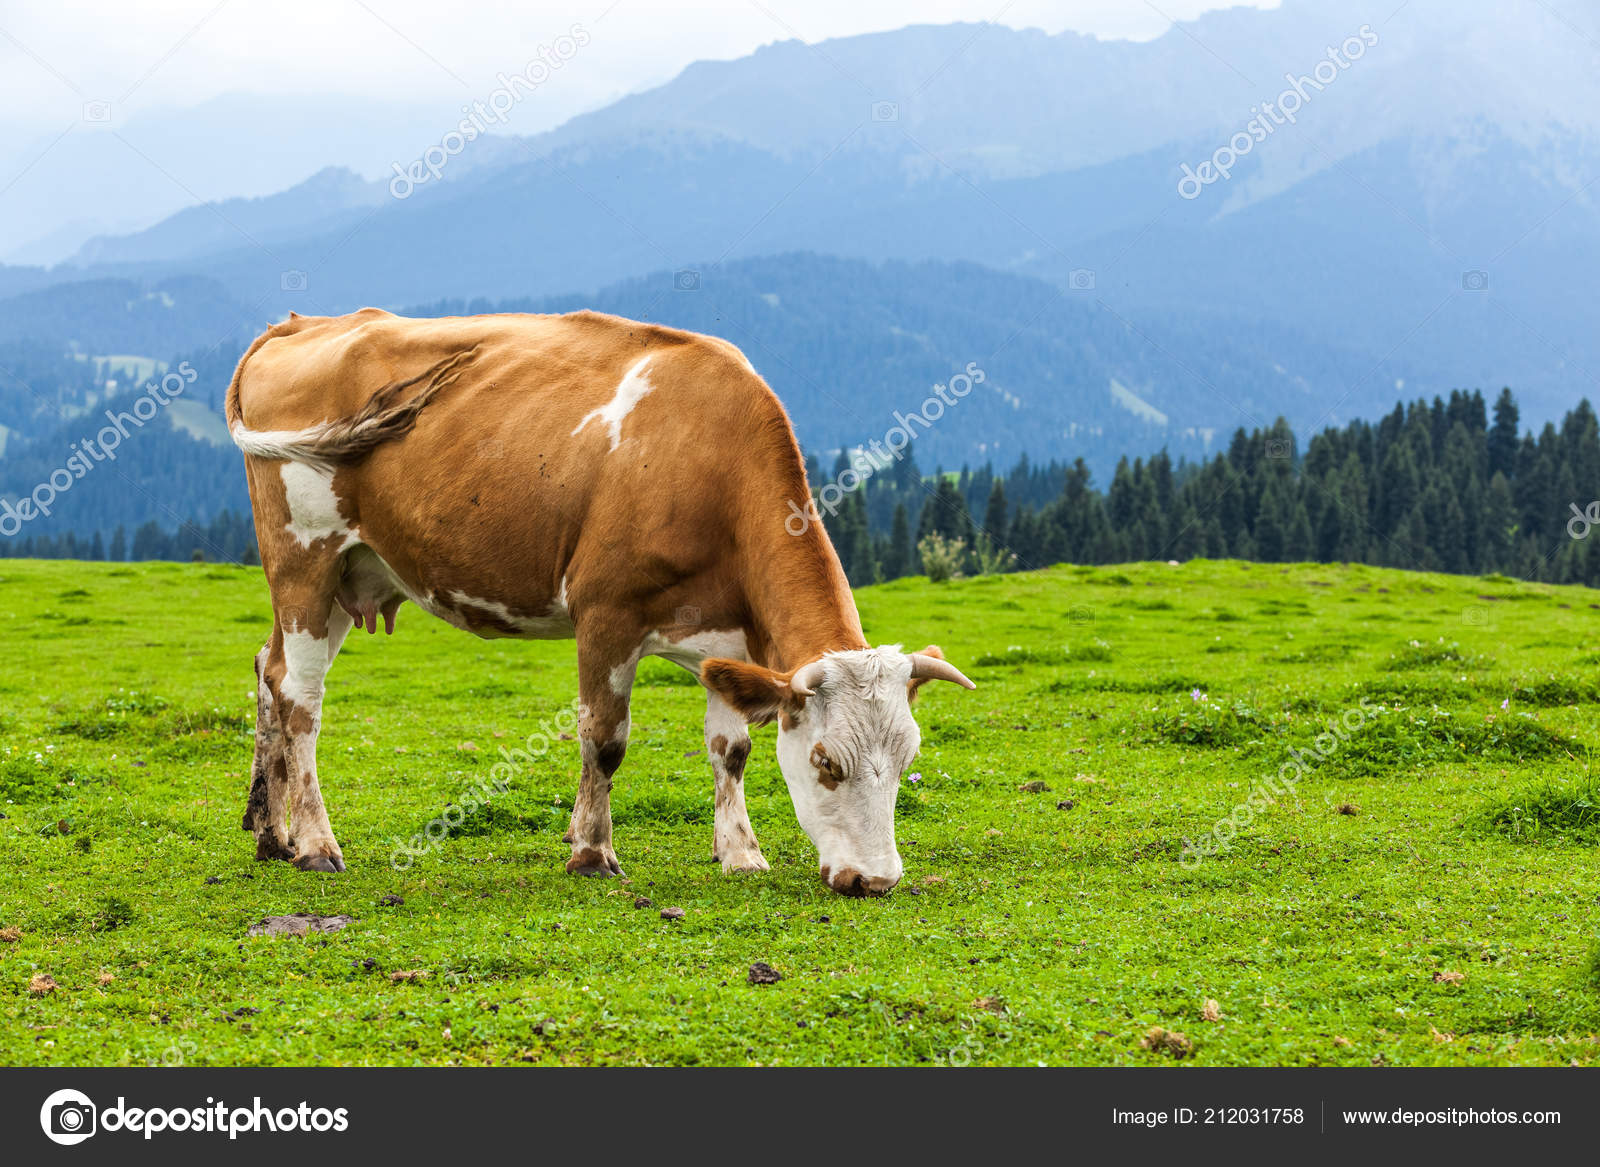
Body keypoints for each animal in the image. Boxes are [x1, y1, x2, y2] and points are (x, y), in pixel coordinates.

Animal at [226, 308, 974, 895]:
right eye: (825, 762)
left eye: (906, 762)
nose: (875, 879)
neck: (711, 464)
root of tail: (299, 324)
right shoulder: (606, 614)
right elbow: (605, 739)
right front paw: (592, 852)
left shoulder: (728, 640)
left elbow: (730, 747)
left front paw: (740, 853)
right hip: (305, 560)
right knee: (300, 698)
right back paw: (316, 845)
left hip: (348, 575)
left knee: (267, 671)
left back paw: (271, 835)